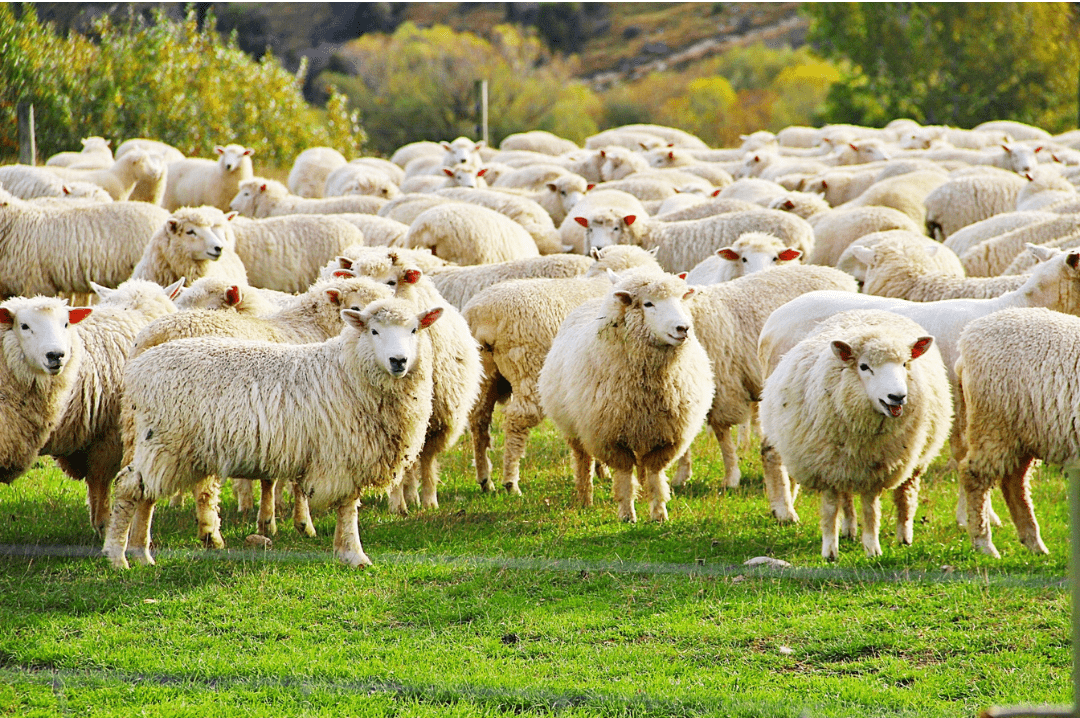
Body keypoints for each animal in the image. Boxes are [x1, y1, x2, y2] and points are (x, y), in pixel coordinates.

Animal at [103, 296, 442, 569]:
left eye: (414, 330)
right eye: (374, 331)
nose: (398, 361)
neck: (349, 371)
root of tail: (139, 367)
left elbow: (346, 507)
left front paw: (343, 551)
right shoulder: (342, 454)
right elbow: (348, 508)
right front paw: (353, 555)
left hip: (162, 445)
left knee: (146, 495)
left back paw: (140, 553)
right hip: (163, 440)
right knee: (129, 489)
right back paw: (117, 557)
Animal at [463, 245, 664, 494]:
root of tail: (482, 314)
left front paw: (601, 470)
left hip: (486, 372)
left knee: (479, 419)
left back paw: (485, 479)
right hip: (528, 368)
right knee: (517, 420)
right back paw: (511, 482)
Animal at [539, 270, 714, 523]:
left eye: (681, 299)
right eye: (648, 304)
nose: (683, 328)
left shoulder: (667, 437)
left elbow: (655, 474)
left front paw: (659, 513)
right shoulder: (610, 437)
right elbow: (623, 475)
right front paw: (626, 514)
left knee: (640, 466)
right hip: (574, 429)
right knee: (583, 461)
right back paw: (585, 499)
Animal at [759, 309, 951, 560]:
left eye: (904, 363)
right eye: (864, 367)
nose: (897, 397)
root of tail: (869, 311)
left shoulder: (877, 469)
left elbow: (871, 510)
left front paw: (872, 549)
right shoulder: (827, 467)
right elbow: (831, 508)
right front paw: (830, 550)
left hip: (914, 459)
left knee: (905, 495)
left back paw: (903, 536)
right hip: (843, 462)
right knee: (846, 495)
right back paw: (847, 529)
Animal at [955, 307, 1080, 558]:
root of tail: (965, 339)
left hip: (1023, 434)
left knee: (1014, 482)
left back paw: (1034, 543)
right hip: (993, 424)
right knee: (974, 476)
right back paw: (984, 544)